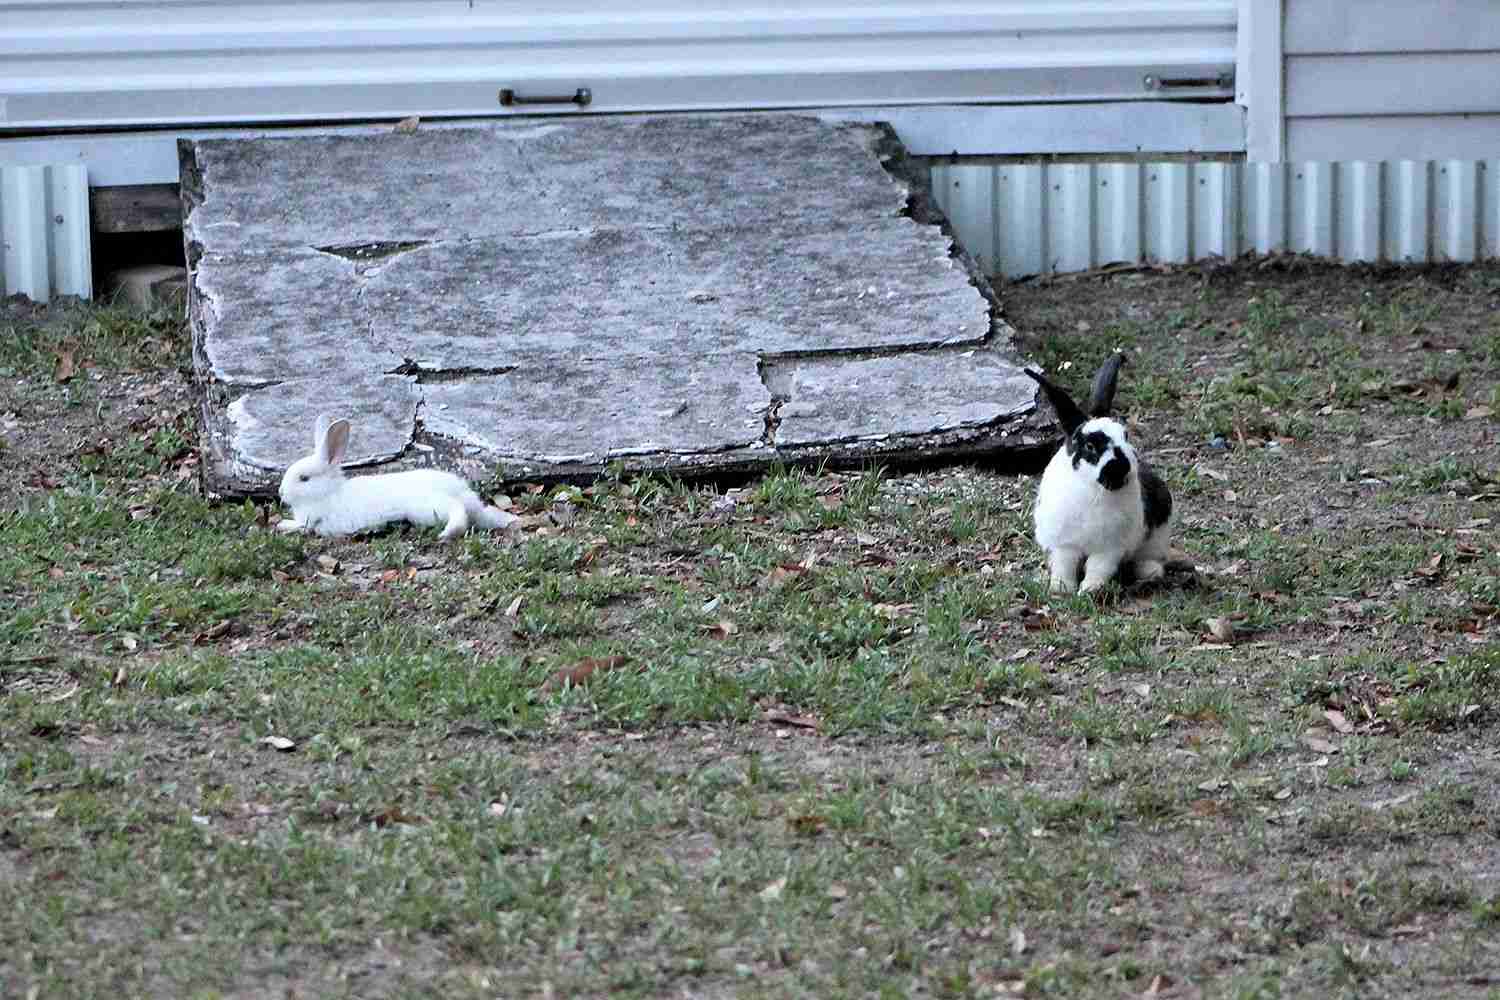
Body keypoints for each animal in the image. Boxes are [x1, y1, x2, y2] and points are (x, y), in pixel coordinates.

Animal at [277, 414, 517, 541]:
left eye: (304, 478)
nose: (281, 493)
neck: (327, 491)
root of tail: (464, 494)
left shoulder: (310, 521)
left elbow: (301, 527)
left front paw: (281, 524)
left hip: (428, 508)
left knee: (458, 513)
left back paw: (447, 533)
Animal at [1024, 352, 1173, 594]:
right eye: (1090, 446)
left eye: (1126, 436)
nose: (1121, 467)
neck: (1093, 491)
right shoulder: (1064, 545)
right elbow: (1064, 565)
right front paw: (1061, 588)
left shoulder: (1109, 549)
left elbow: (1098, 568)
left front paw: (1089, 590)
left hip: (1156, 536)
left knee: (1149, 557)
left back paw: (1150, 573)